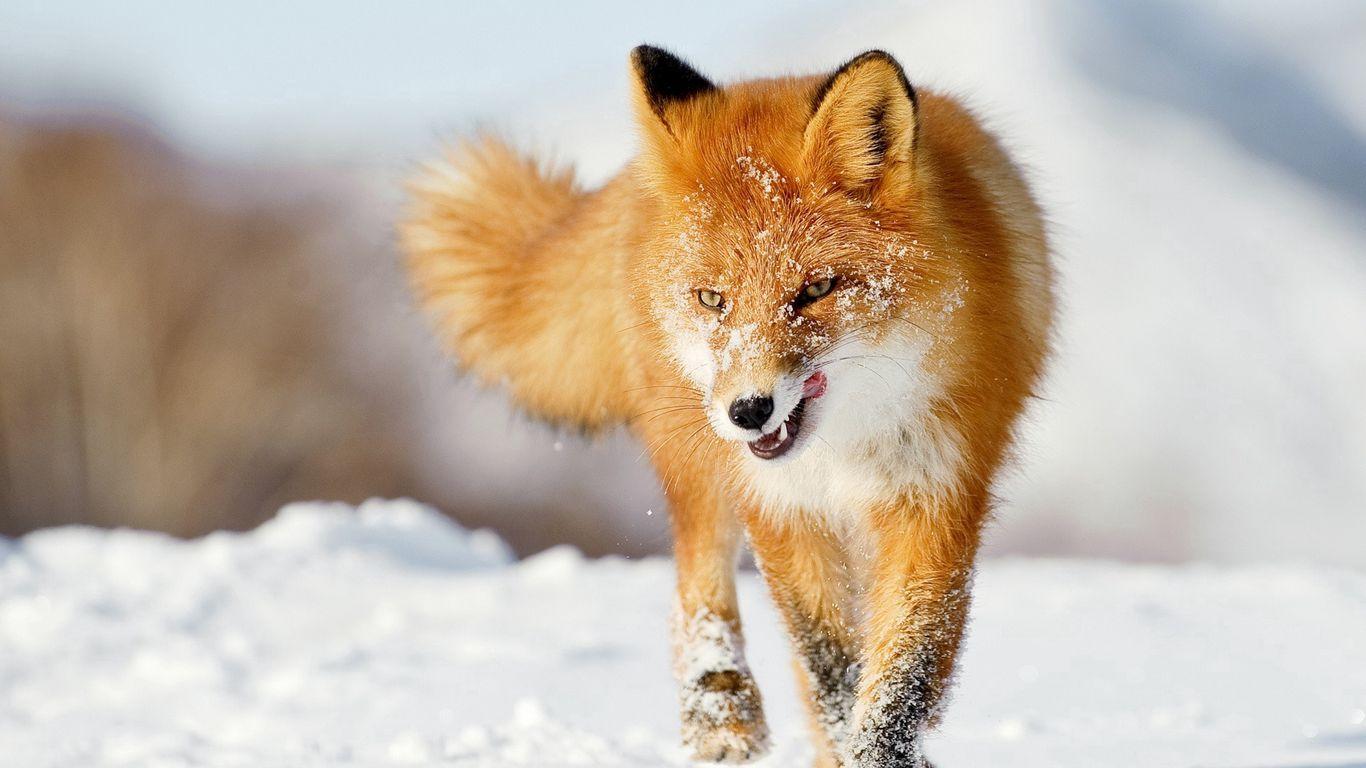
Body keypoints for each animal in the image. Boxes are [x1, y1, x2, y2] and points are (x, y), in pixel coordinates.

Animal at [401, 46, 1054, 768]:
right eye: (714, 299)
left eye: (816, 290)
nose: (749, 411)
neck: (845, 446)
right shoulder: (781, 506)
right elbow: (828, 664)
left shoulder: (936, 497)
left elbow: (898, 676)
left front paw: (884, 747)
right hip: (695, 457)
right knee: (698, 579)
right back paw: (720, 708)